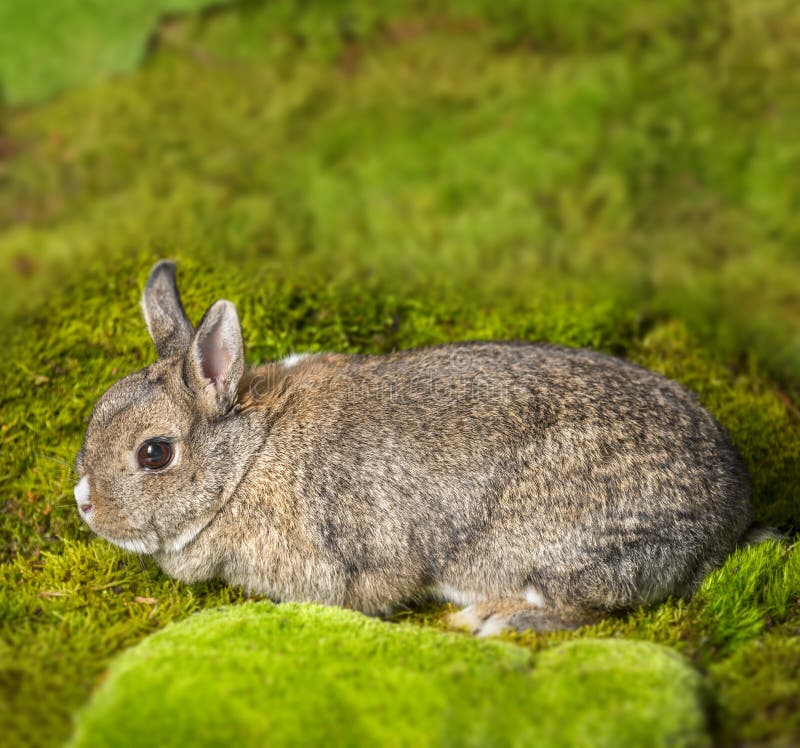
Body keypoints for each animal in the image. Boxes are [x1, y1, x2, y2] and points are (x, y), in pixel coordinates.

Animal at [74, 260, 756, 636]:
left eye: (155, 454)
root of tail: (731, 512)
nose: (83, 502)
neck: (247, 460)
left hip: (564, 550)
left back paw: (493, 619)